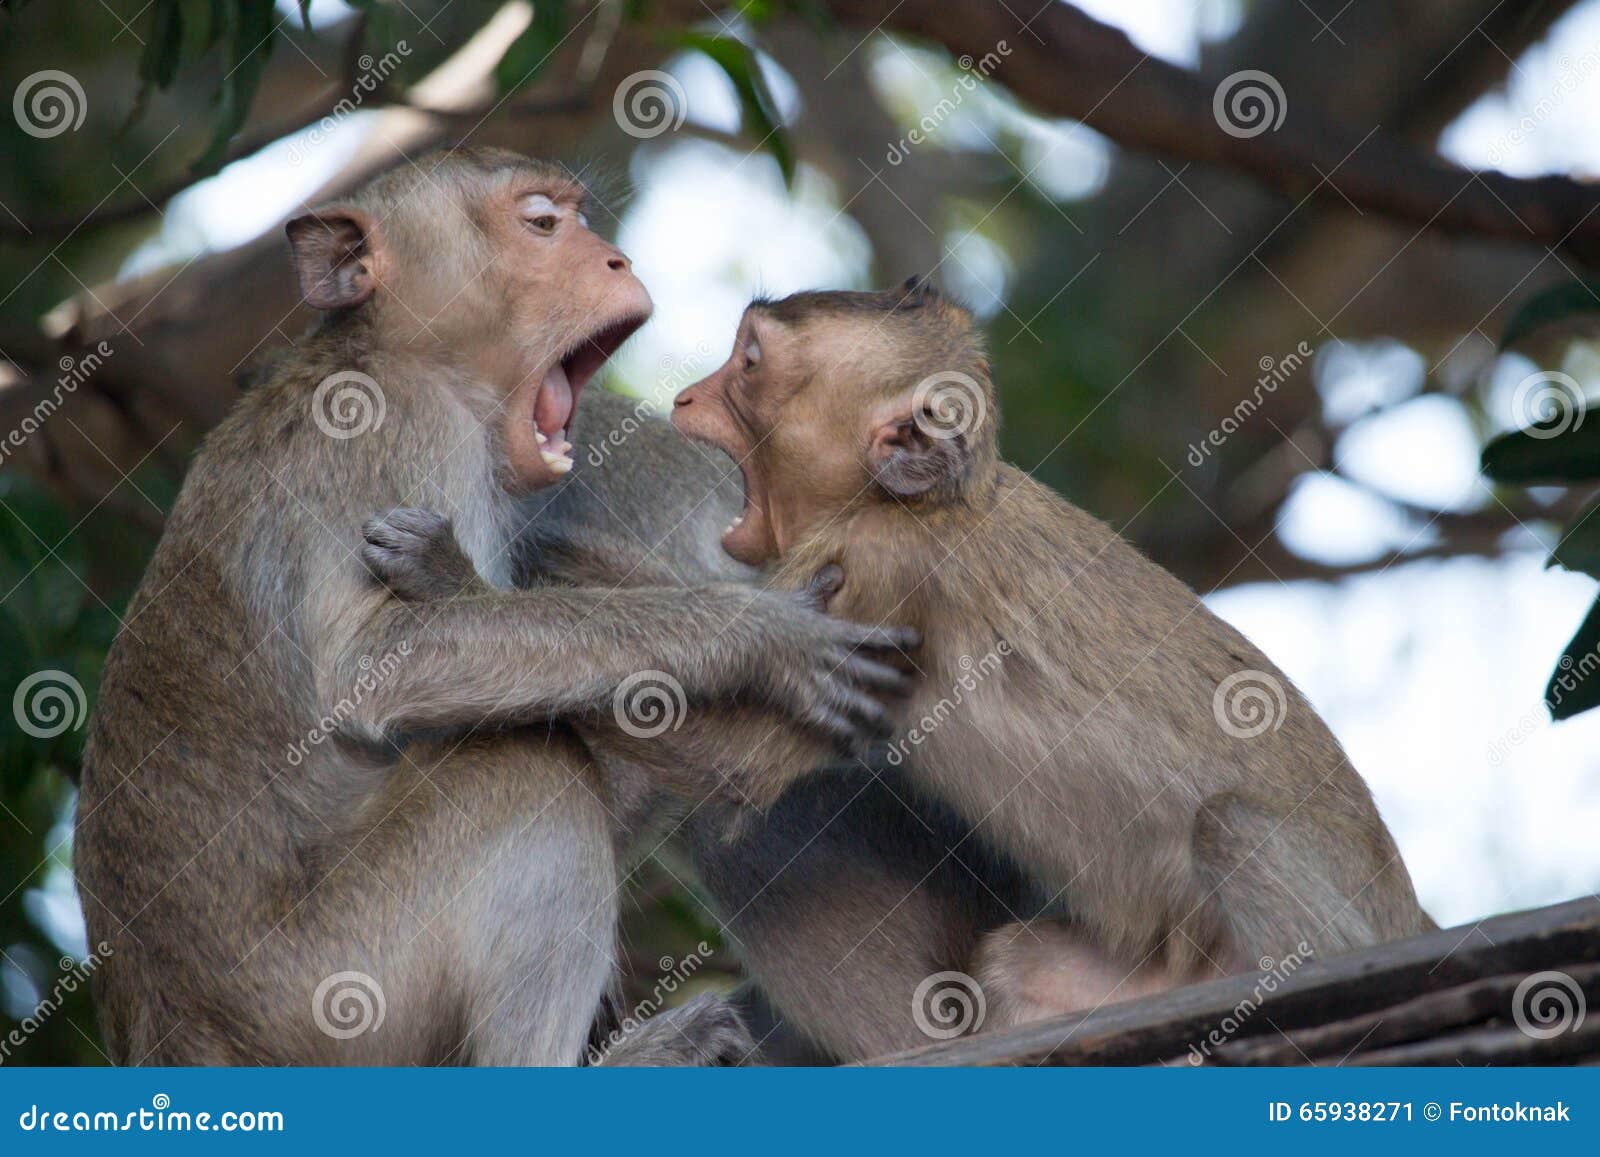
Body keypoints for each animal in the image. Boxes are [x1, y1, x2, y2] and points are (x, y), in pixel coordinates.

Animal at [72, 149, 918, 1066]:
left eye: (581, 221)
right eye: (542, 224)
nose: (616, 259)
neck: (395, 351)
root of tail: (174, 1025)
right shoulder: (398, 427)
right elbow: (377, 661)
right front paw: (767, 633)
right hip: (323, 991)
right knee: (522, 767)